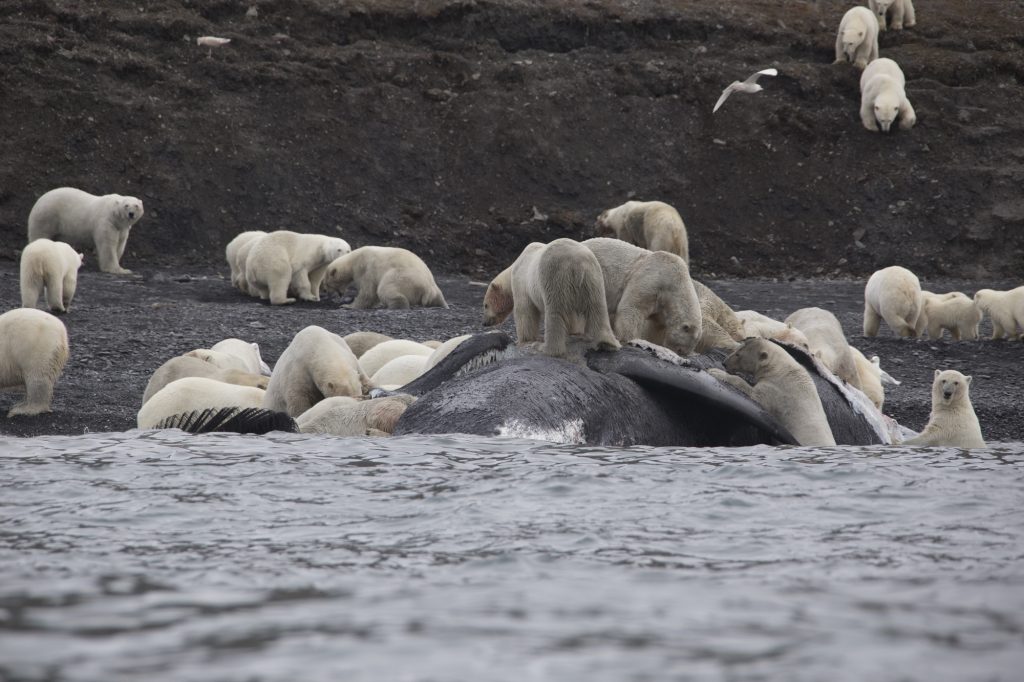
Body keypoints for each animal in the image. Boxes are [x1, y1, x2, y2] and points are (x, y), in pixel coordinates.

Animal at [707, 338, 836, 446]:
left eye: (738, 354)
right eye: (736, 349)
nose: (724, 363)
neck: (781, 368)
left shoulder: (778, 388)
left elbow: (755, 396)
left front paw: (716, 372)